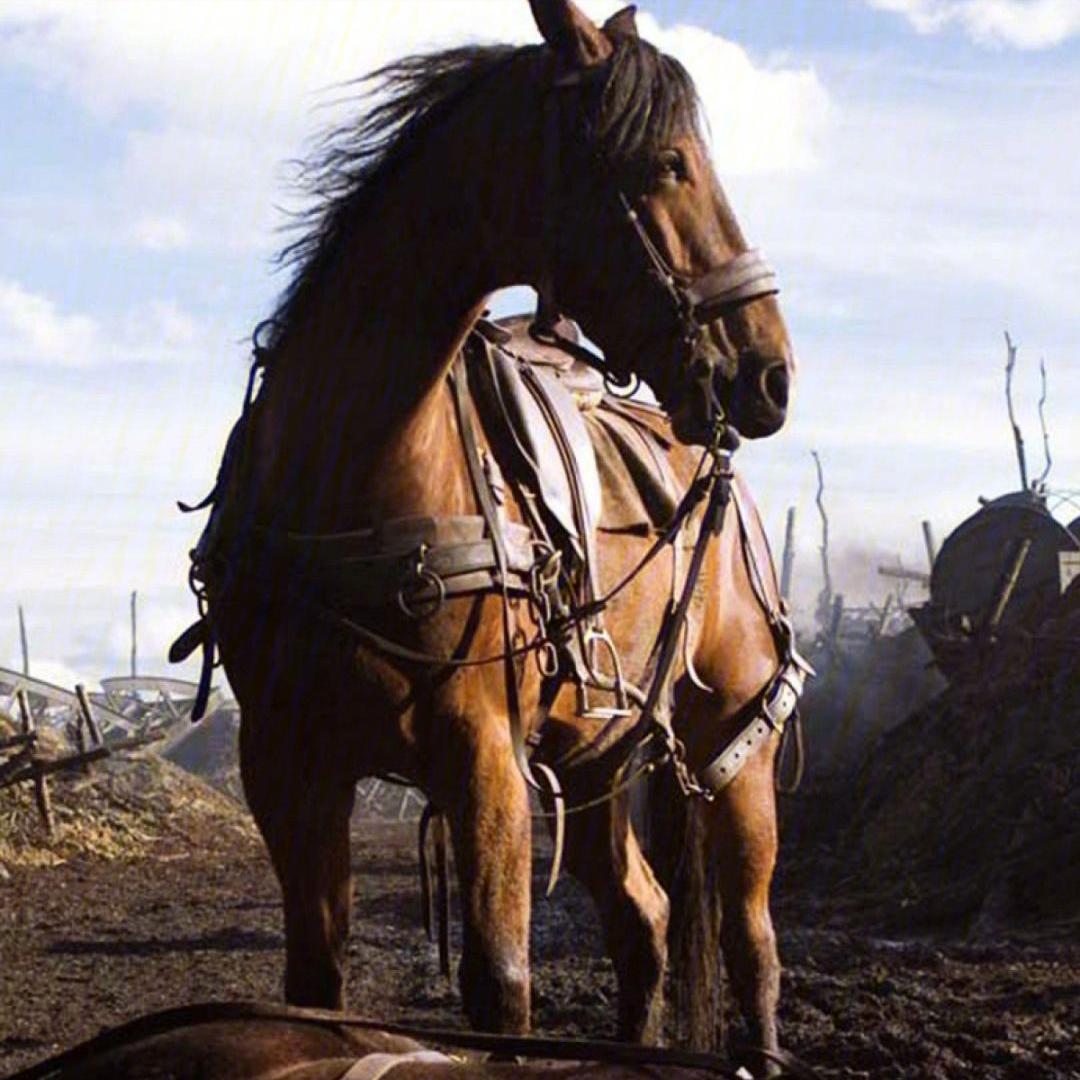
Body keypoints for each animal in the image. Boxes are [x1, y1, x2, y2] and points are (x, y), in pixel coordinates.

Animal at [188, 1, 797, 1075]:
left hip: (735, 745)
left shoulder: (483, 753)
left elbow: (498, 988)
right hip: (600, 758)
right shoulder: (287, 760)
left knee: (750, 943)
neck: (346, 474)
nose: (769, 372)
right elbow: (315, 980)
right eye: (667, 162)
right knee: (643, 921)